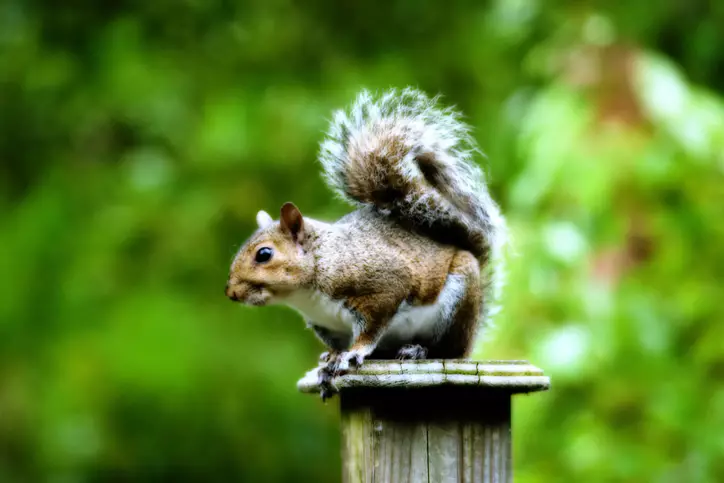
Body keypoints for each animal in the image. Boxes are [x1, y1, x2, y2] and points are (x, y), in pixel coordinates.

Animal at [226, 89, 510, 398]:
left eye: (264, 254)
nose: (231, 293)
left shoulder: (382, 287)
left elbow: (371, 329)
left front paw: (354, 353)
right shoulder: (327, 325)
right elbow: (337, 345)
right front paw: (330, 359)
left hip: (458, 303)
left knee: (450, 351)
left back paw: (419, 350)